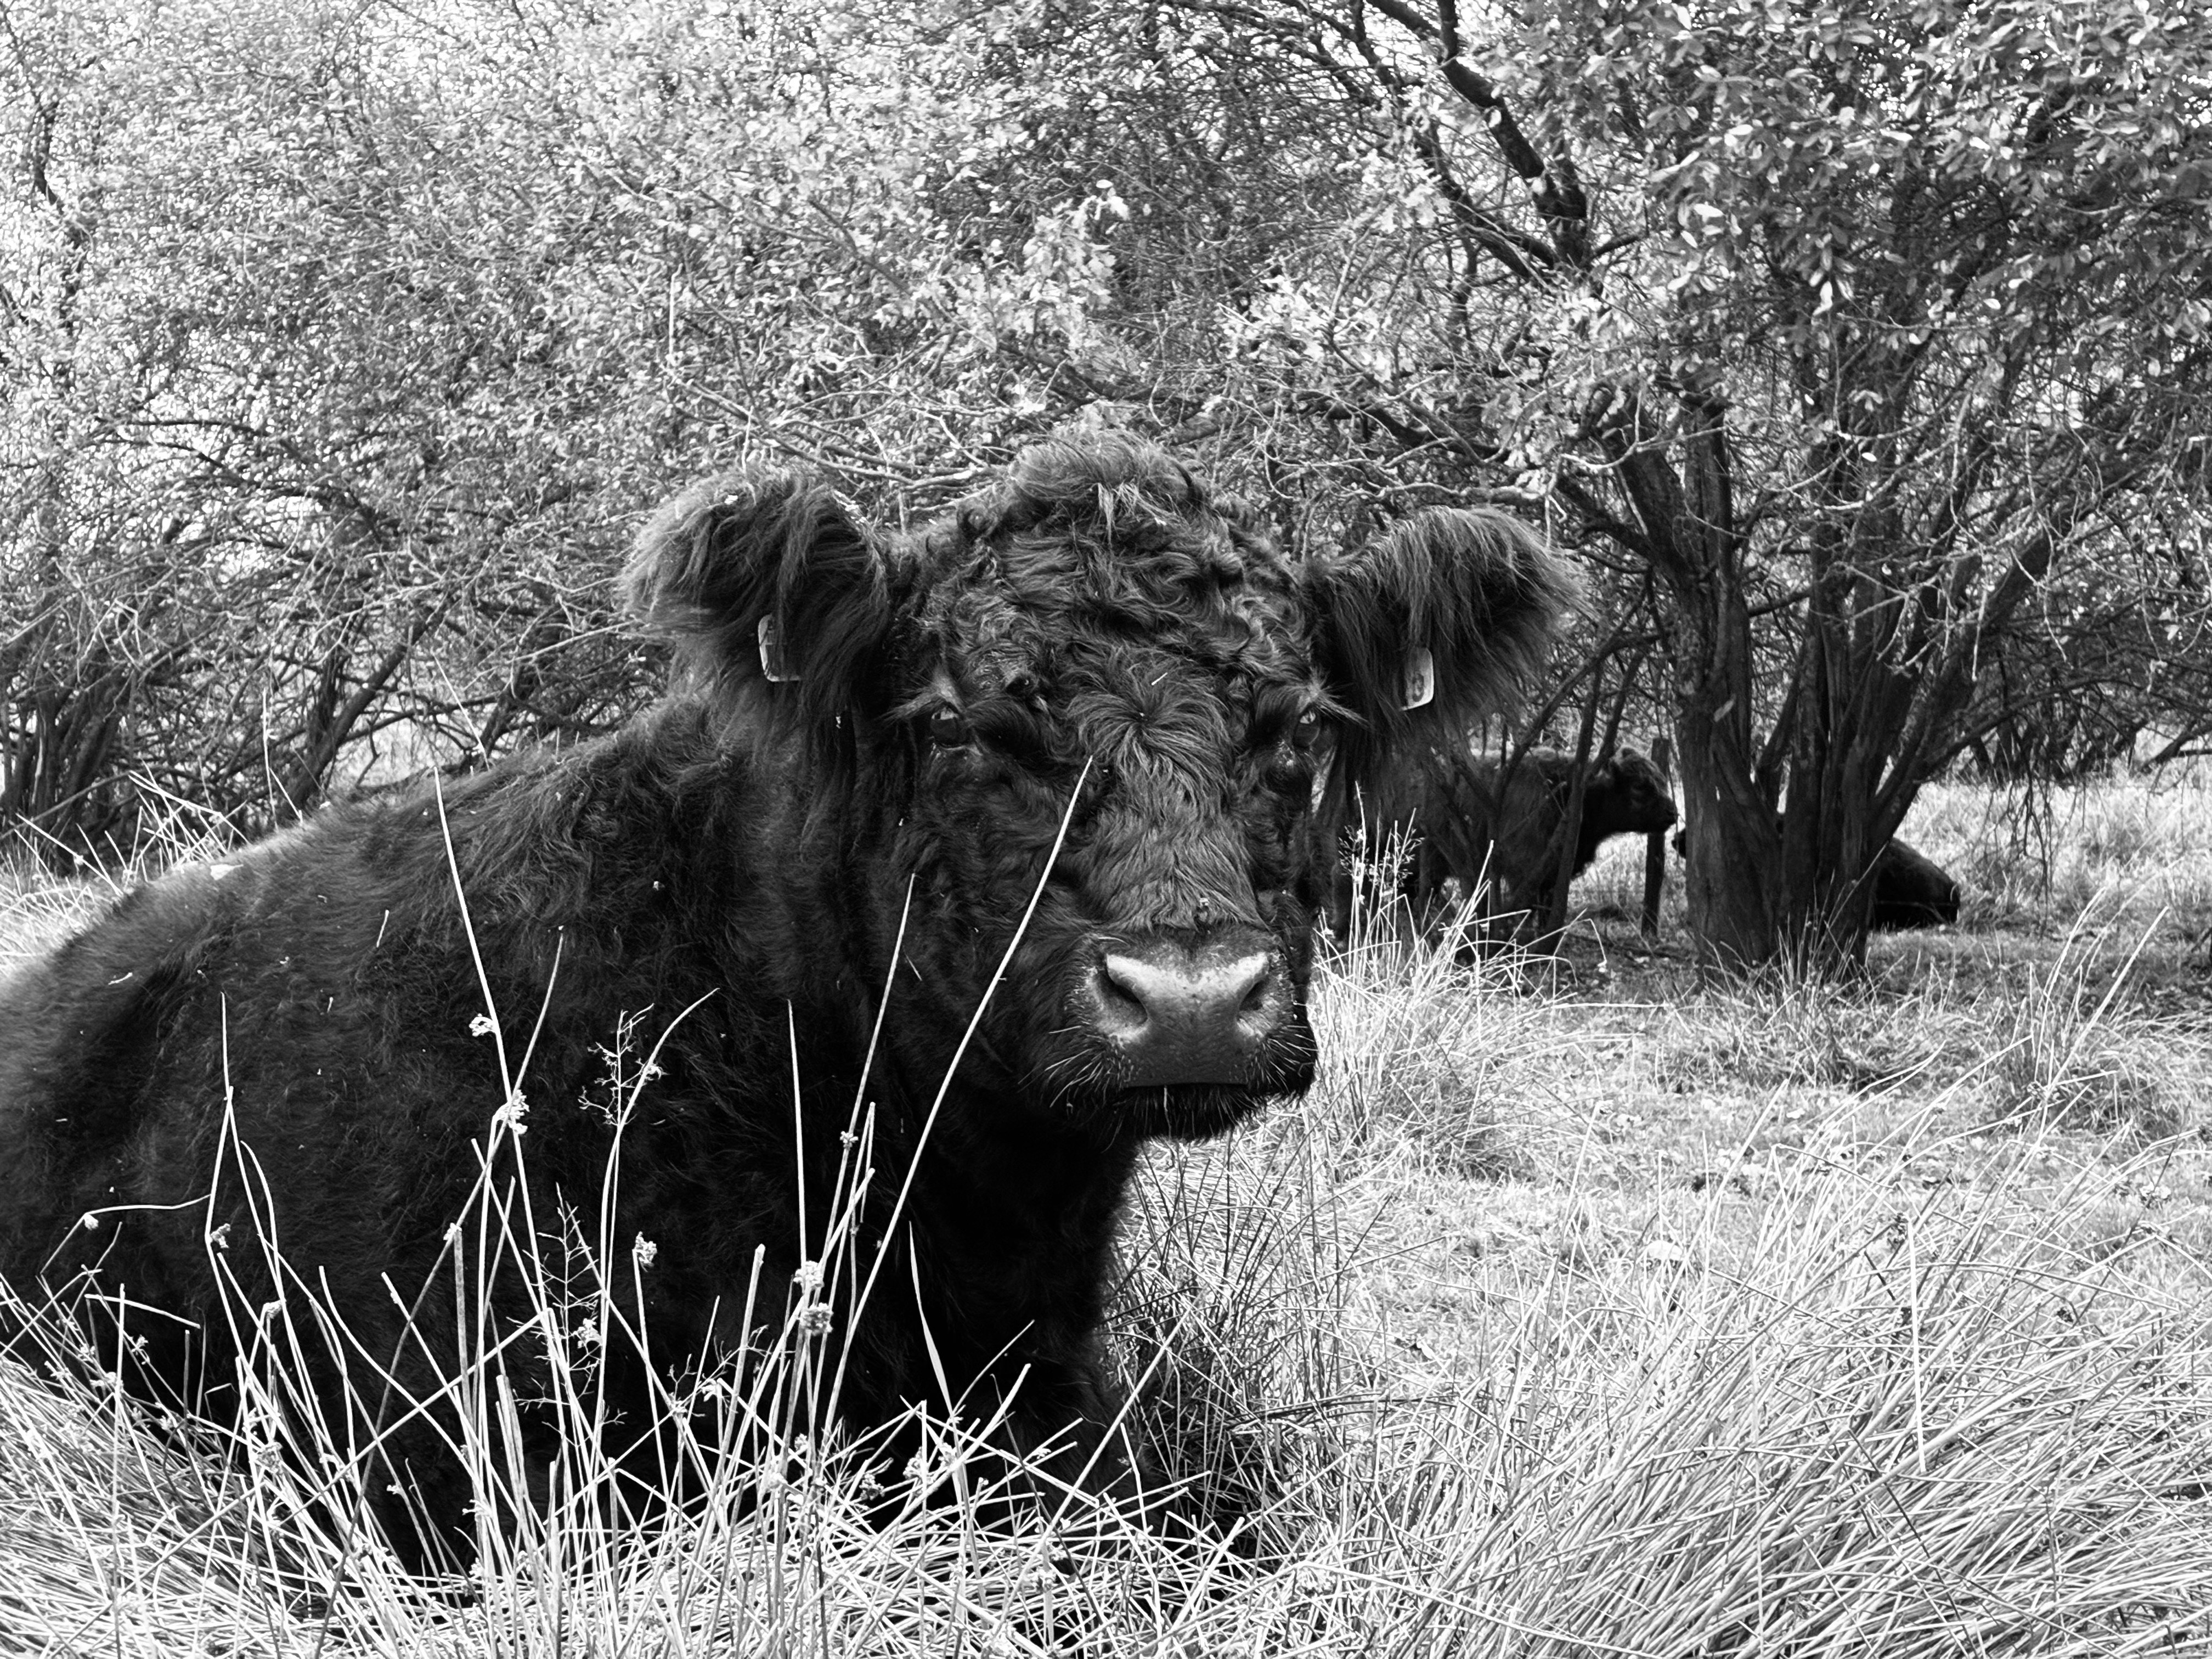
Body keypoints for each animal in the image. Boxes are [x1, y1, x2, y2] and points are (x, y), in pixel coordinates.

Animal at [1333, 744, 1677, 937]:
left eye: (1661, 780)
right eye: (1640, 787)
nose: (1673, 814)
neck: (1568, 789)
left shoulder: (1551, 874)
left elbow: (1545, 907)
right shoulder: (1523, 869)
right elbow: (1526, 907)